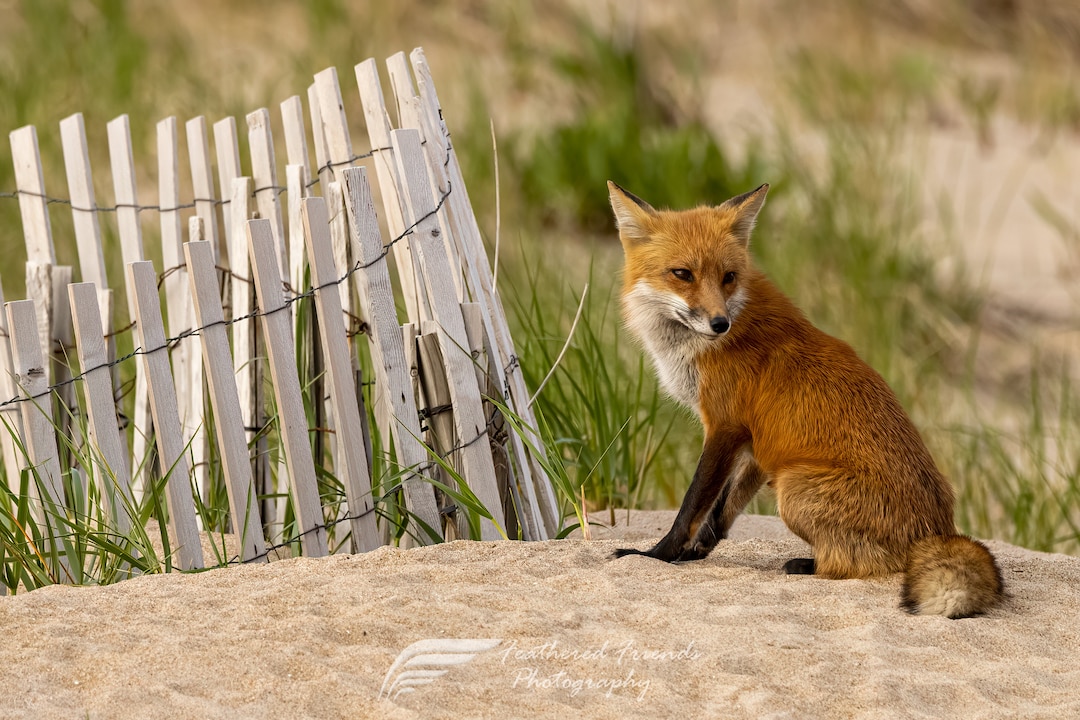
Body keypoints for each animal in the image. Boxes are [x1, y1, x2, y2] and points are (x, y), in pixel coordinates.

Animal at [607, 180, 1004, 619]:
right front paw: (695, 554)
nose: (719, 323)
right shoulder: (754, 441)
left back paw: (807, 564)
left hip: (793, 490)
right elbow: (722, 511)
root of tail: (937, 530)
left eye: (728, 277)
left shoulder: (724, 426)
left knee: (858, 566)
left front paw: (655, 556)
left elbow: (692, 505)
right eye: (682, 274)